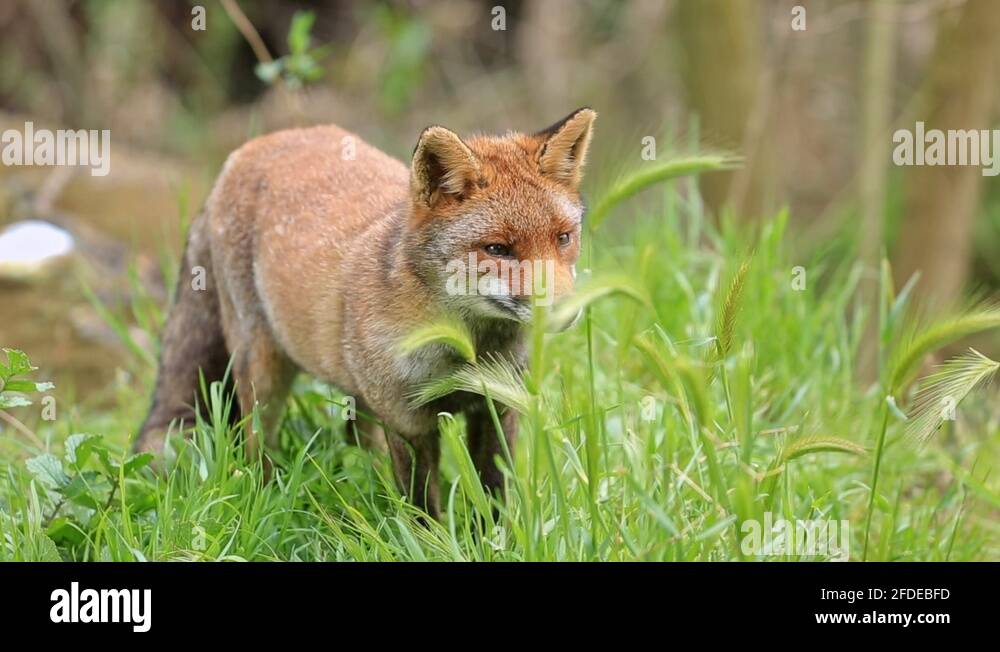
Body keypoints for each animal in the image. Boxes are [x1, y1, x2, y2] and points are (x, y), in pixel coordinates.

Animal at [135, 107, 597, 518]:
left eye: (563, 238)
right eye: (498, 249)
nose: (565, 310)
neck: (467, 349)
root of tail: (249, 149)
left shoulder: (498, 405)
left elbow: (495, 496)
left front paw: (497, 541)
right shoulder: (407, 421)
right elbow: (422, 509)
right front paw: (430, 544)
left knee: (356, 438)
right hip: (262, 372)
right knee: (254, 448)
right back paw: (265, 500)